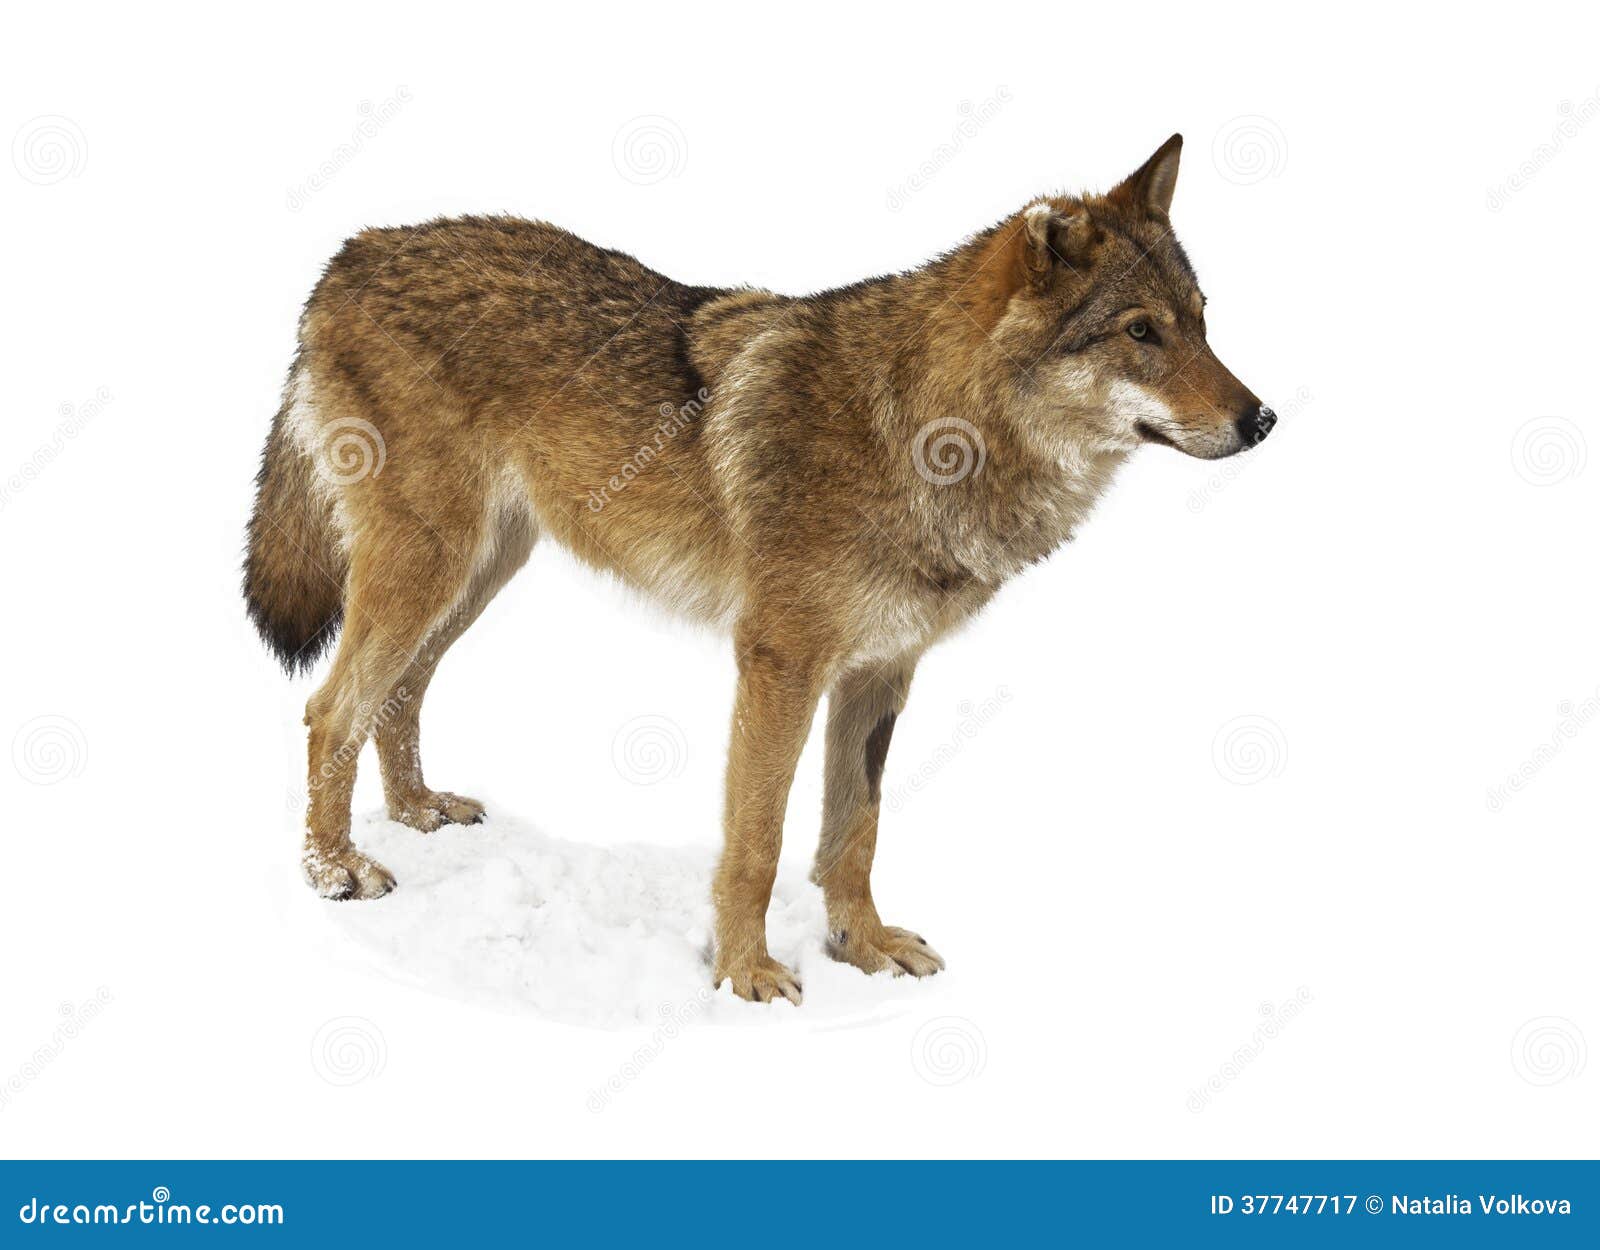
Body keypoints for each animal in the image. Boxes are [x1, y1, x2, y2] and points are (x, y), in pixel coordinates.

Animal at [244, 134, 1275, 1003]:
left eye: (1202, 323)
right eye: (1140, 332)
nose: (1262, 419)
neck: (921, 428)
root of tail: (350, 253)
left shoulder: (880, 672)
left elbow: (854, 834)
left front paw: (863, 948)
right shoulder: (778, 663)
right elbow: (760, 841)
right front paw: (745, 975)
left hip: (475, 575)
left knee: (398, 694)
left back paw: (417, 813)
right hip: (429, 568)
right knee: (330, 708)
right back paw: (335, 872)